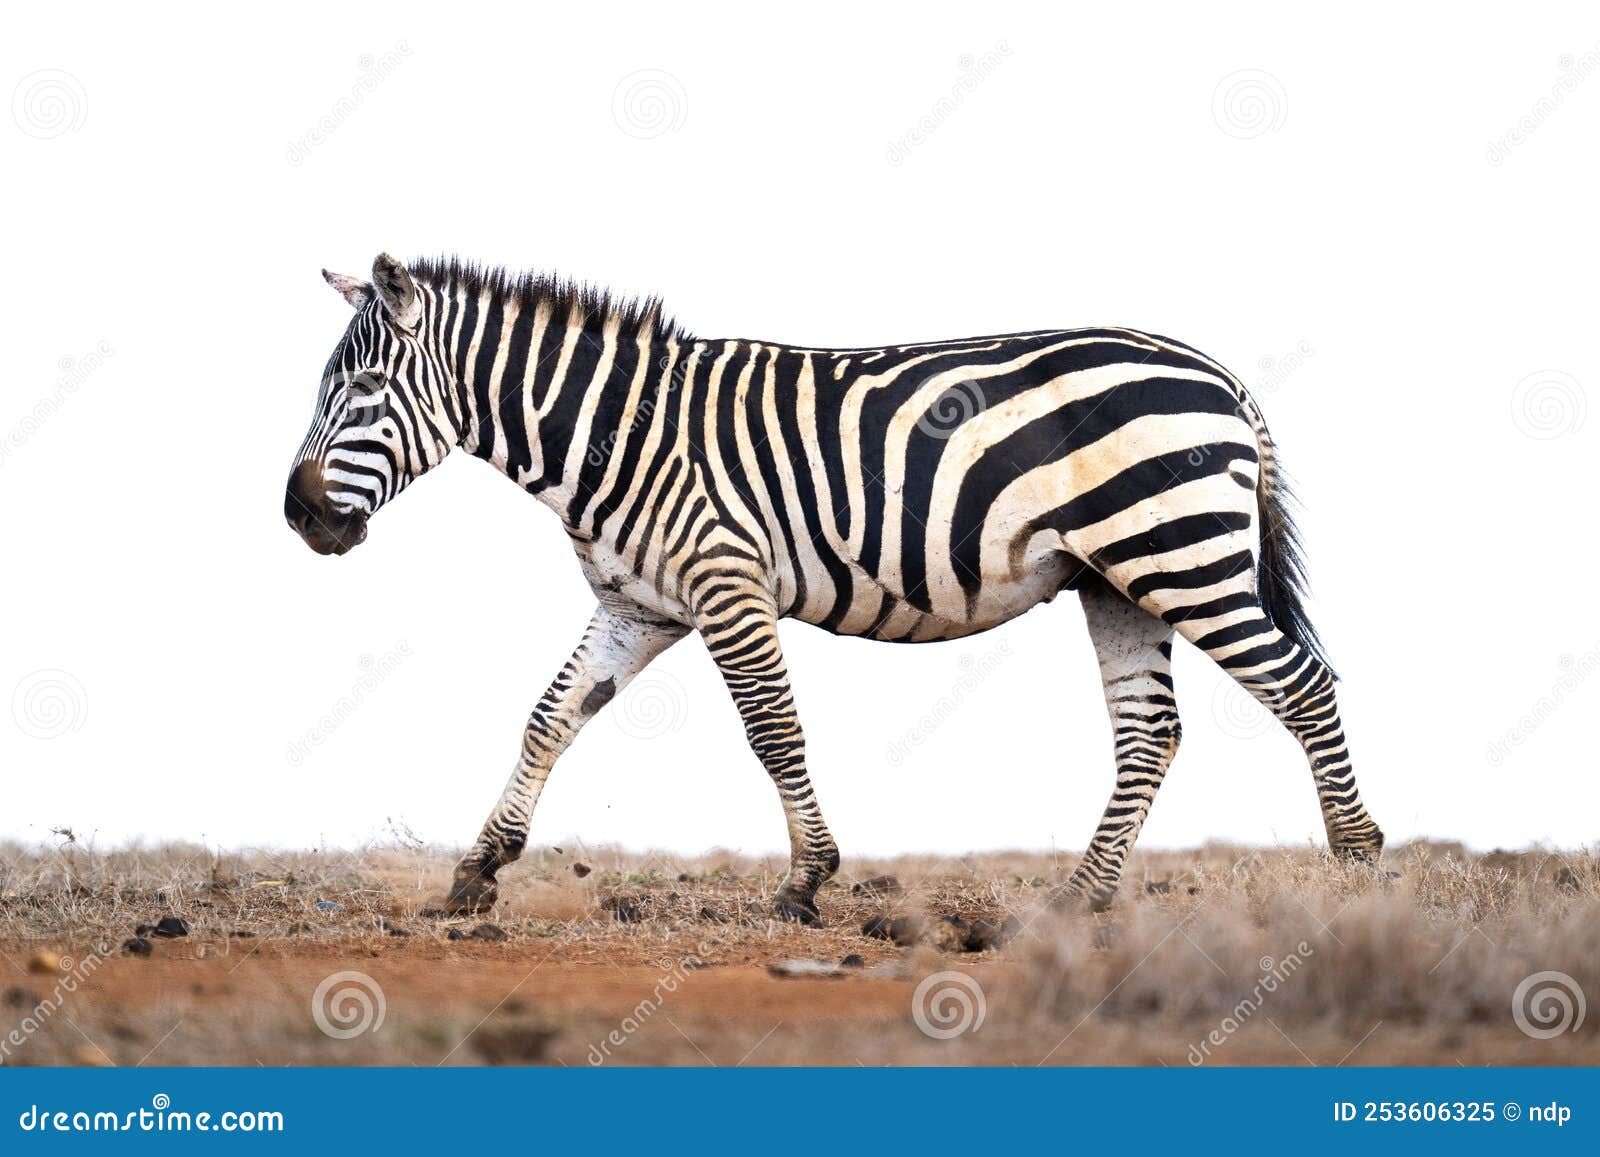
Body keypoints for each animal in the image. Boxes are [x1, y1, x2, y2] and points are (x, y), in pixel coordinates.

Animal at [286, 253, 1384, 921]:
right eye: (328, 386)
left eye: (365, 390)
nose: (300, 517)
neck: (616, 434)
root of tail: (1217, 374)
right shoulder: (637, 606)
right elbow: (548, 717)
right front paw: (477, 868)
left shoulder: (725, 583)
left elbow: (774, 730)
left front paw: (806, 882)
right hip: (1117, 577)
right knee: (1152, 730)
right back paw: (1080, 895)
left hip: (1177, 552)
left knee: (1302, 685)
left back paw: (1359, 861)